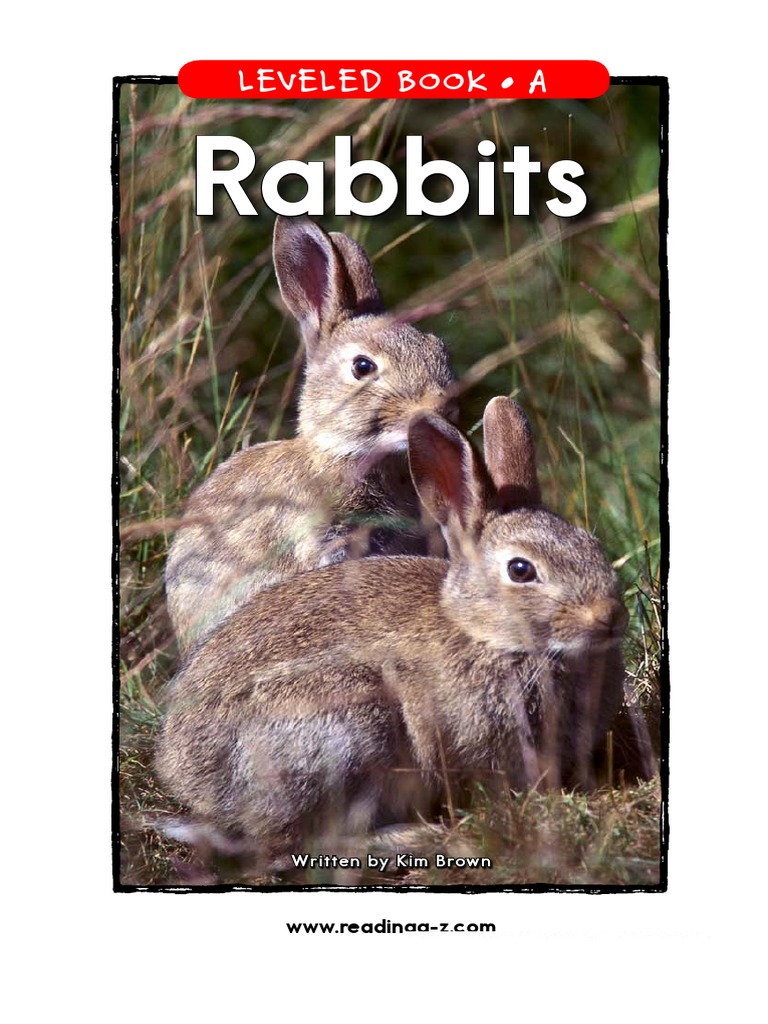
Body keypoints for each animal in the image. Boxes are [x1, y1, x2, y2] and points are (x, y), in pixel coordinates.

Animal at [155, 397, 628, 867]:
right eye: (521, 570)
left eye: (594, 546)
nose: (608, 615)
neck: (483, 631)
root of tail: (185, 774)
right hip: (350, 727)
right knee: (295, 841)